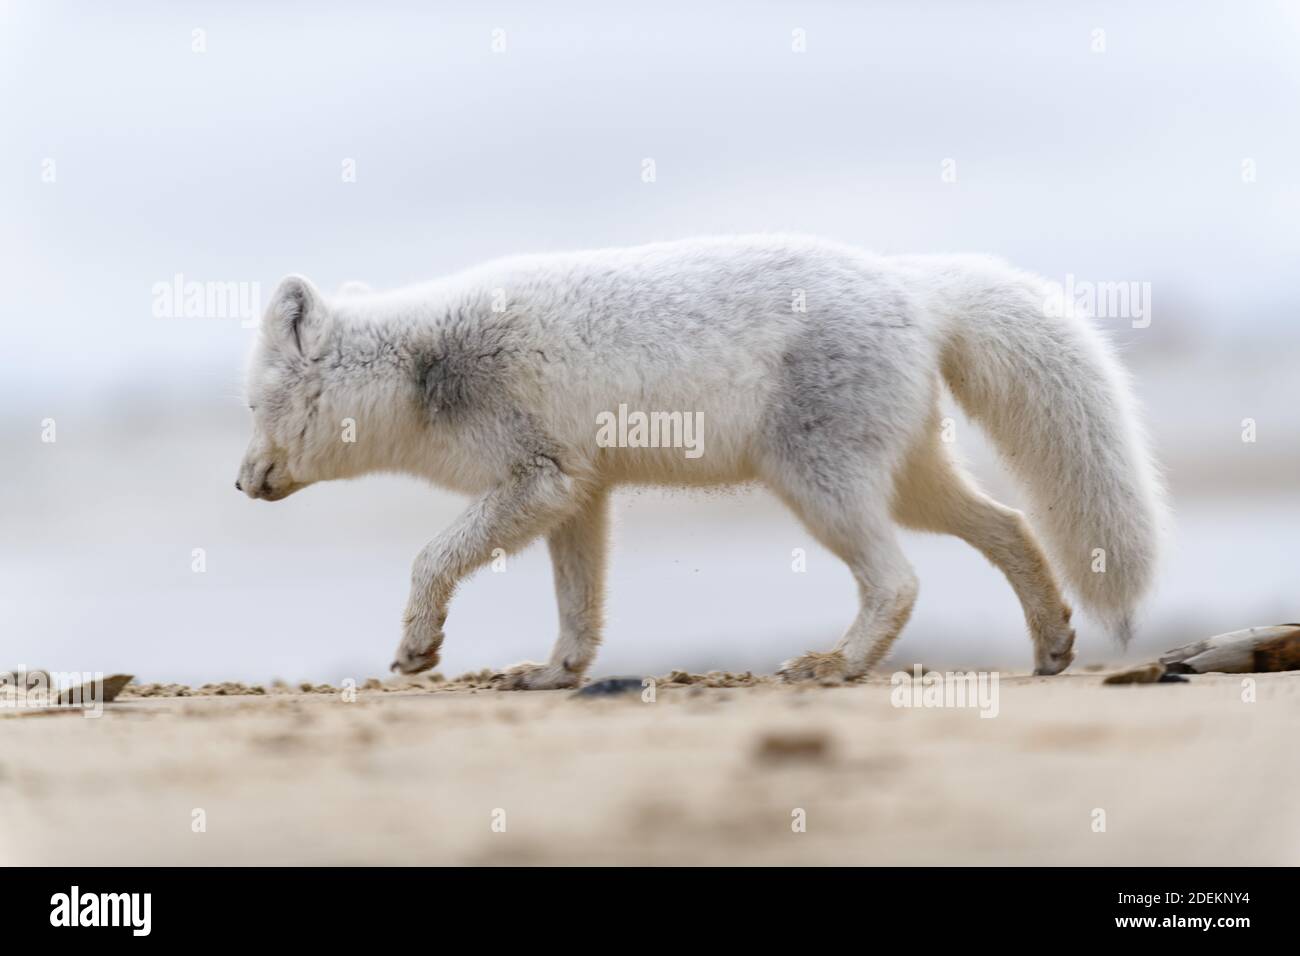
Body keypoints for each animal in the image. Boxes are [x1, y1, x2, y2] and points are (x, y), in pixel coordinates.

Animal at [236, 235, 1164, 688]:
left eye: (248, 407)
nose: (239, 483)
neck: (422, 366)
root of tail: (914, 285)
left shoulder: (538, 477)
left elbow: (431, 558)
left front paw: (419, 646)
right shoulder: (580, 493)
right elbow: (580, 609)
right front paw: (555, 674)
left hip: (819, 486)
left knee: (900, 581)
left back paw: (837, 665)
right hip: (905, 484)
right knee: (1009, 526)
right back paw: (1051, 645)